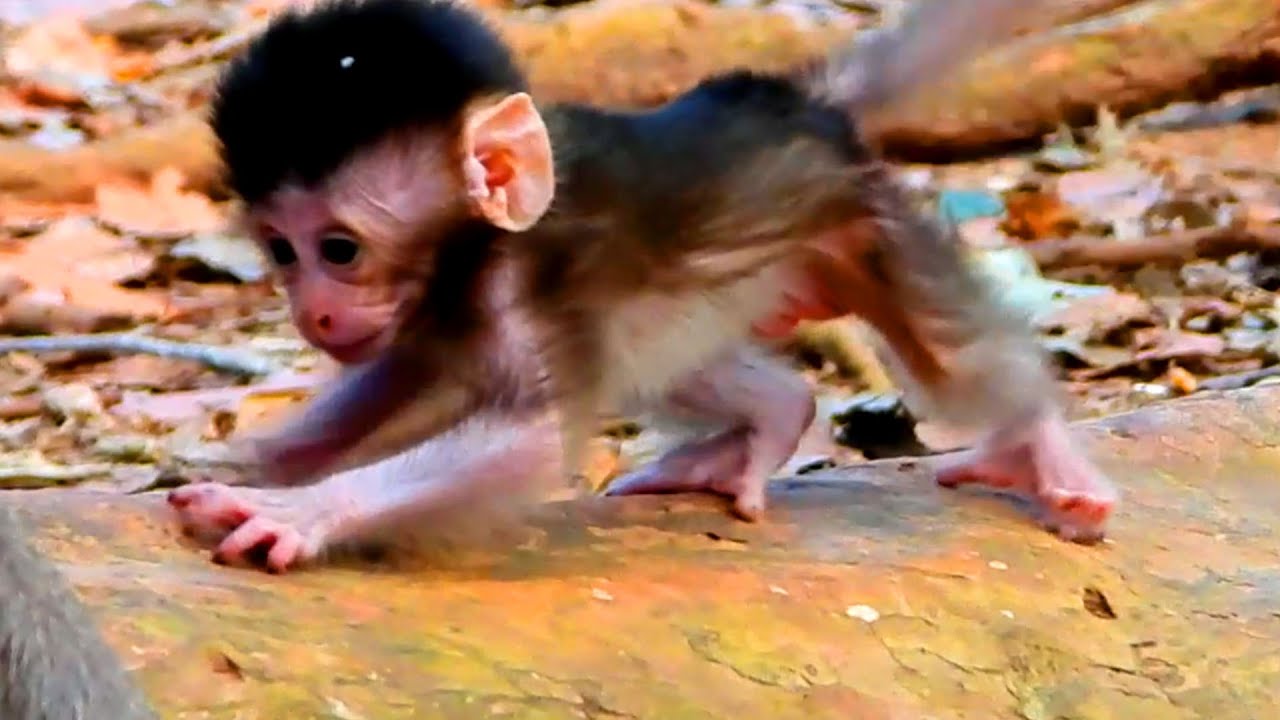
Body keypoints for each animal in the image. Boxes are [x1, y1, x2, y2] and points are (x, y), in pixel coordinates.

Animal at [167, 0, 1118, 574]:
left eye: (339, 248)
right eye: (281, 251)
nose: (315, 310)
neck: (474, 251)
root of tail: (787, 103)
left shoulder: (516, 290)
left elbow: (528, 438)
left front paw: (297, 510)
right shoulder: (432, 315)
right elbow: (396, 381)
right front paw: (259, 461)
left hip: (864, 224)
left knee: (952, 361)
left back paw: (1033, 445)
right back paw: (770, 420)